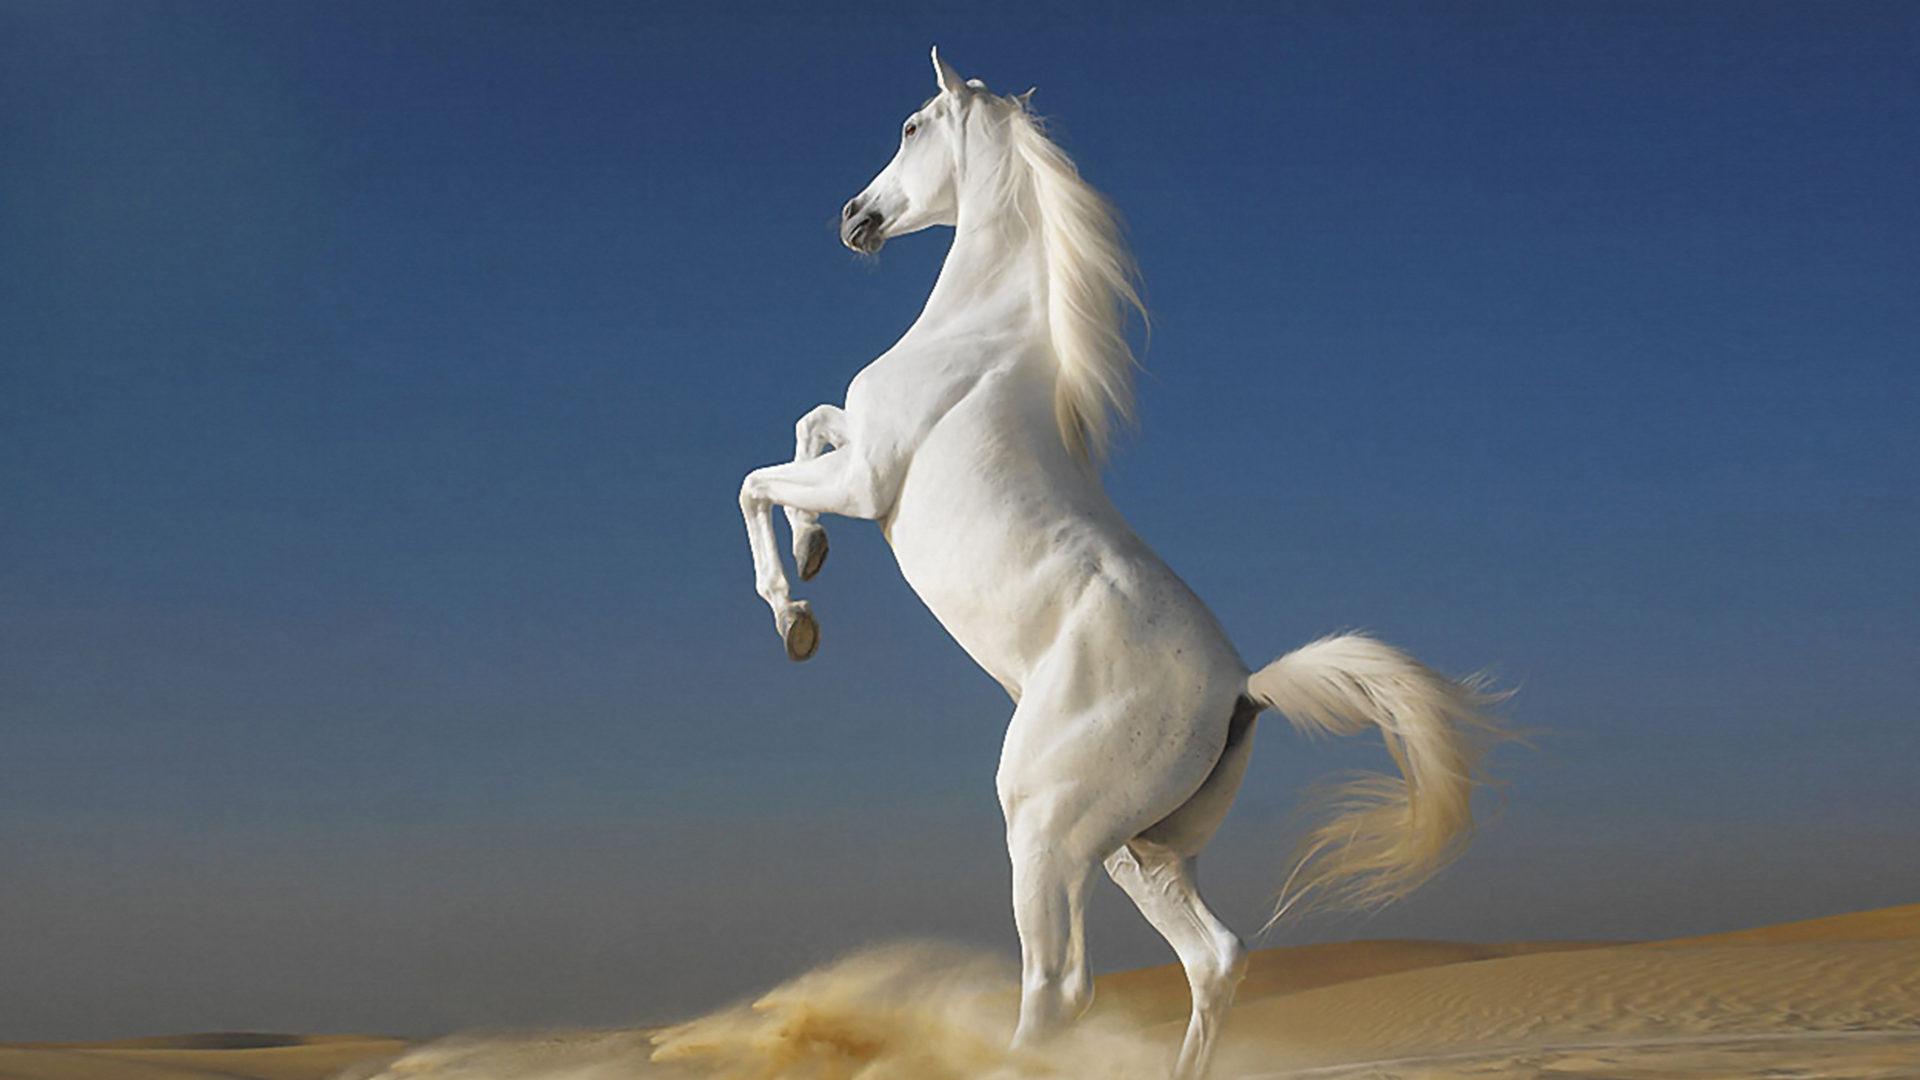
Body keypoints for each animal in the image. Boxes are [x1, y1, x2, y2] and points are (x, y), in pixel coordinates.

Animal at [736, 47, 1513, 1079]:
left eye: (910, 126)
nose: (854, 218)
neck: (977, 338)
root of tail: (1243, 690)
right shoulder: (854, 454)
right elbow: (808, 424)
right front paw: (814, 555)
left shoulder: (867, 480)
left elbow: (758, 479)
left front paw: (796, 616)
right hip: (1135, 850)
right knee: (1213, 959)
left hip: (1044, 827)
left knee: (1061, 987)